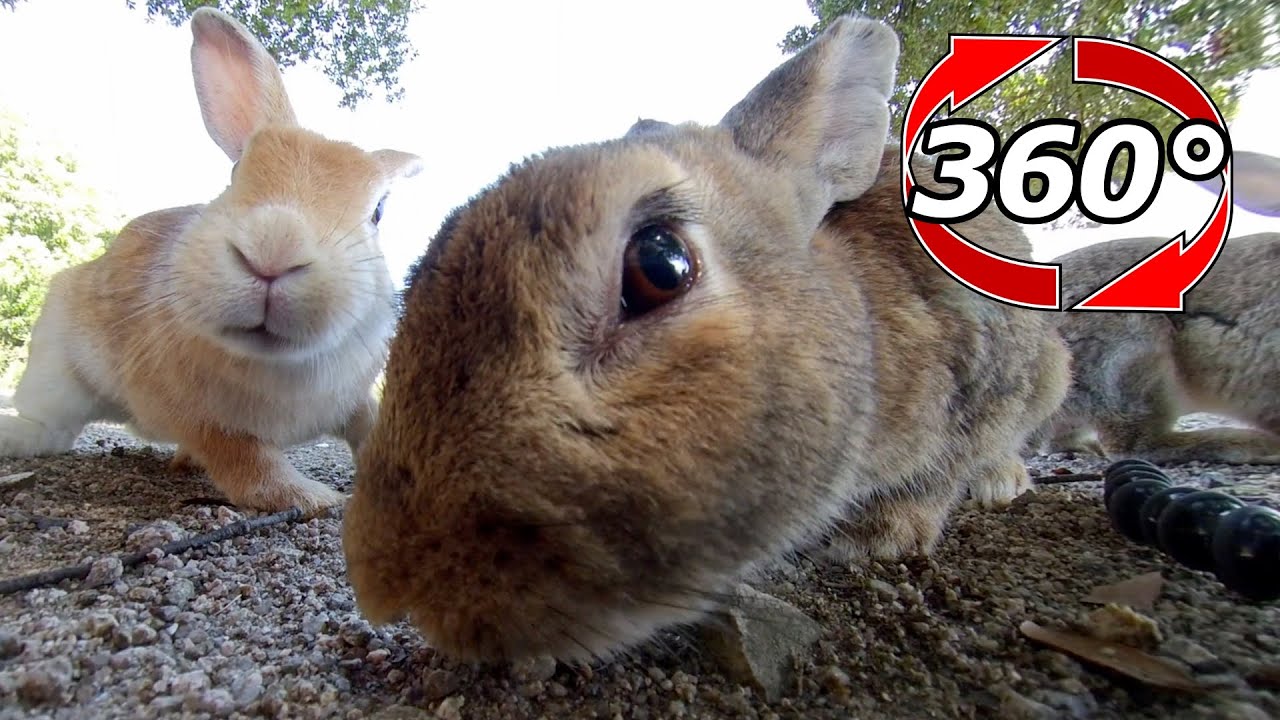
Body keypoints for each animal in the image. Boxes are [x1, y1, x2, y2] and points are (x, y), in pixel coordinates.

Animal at [0, 7, 423, 514]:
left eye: (377, 212)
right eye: (237, 171)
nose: (273, 251)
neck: (274, 364)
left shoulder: (355, 400)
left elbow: (369, 429)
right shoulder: (205, 421)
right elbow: (248, 464)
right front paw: (318, 498)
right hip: (54, 370)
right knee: (50, 429)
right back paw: (11, 436)